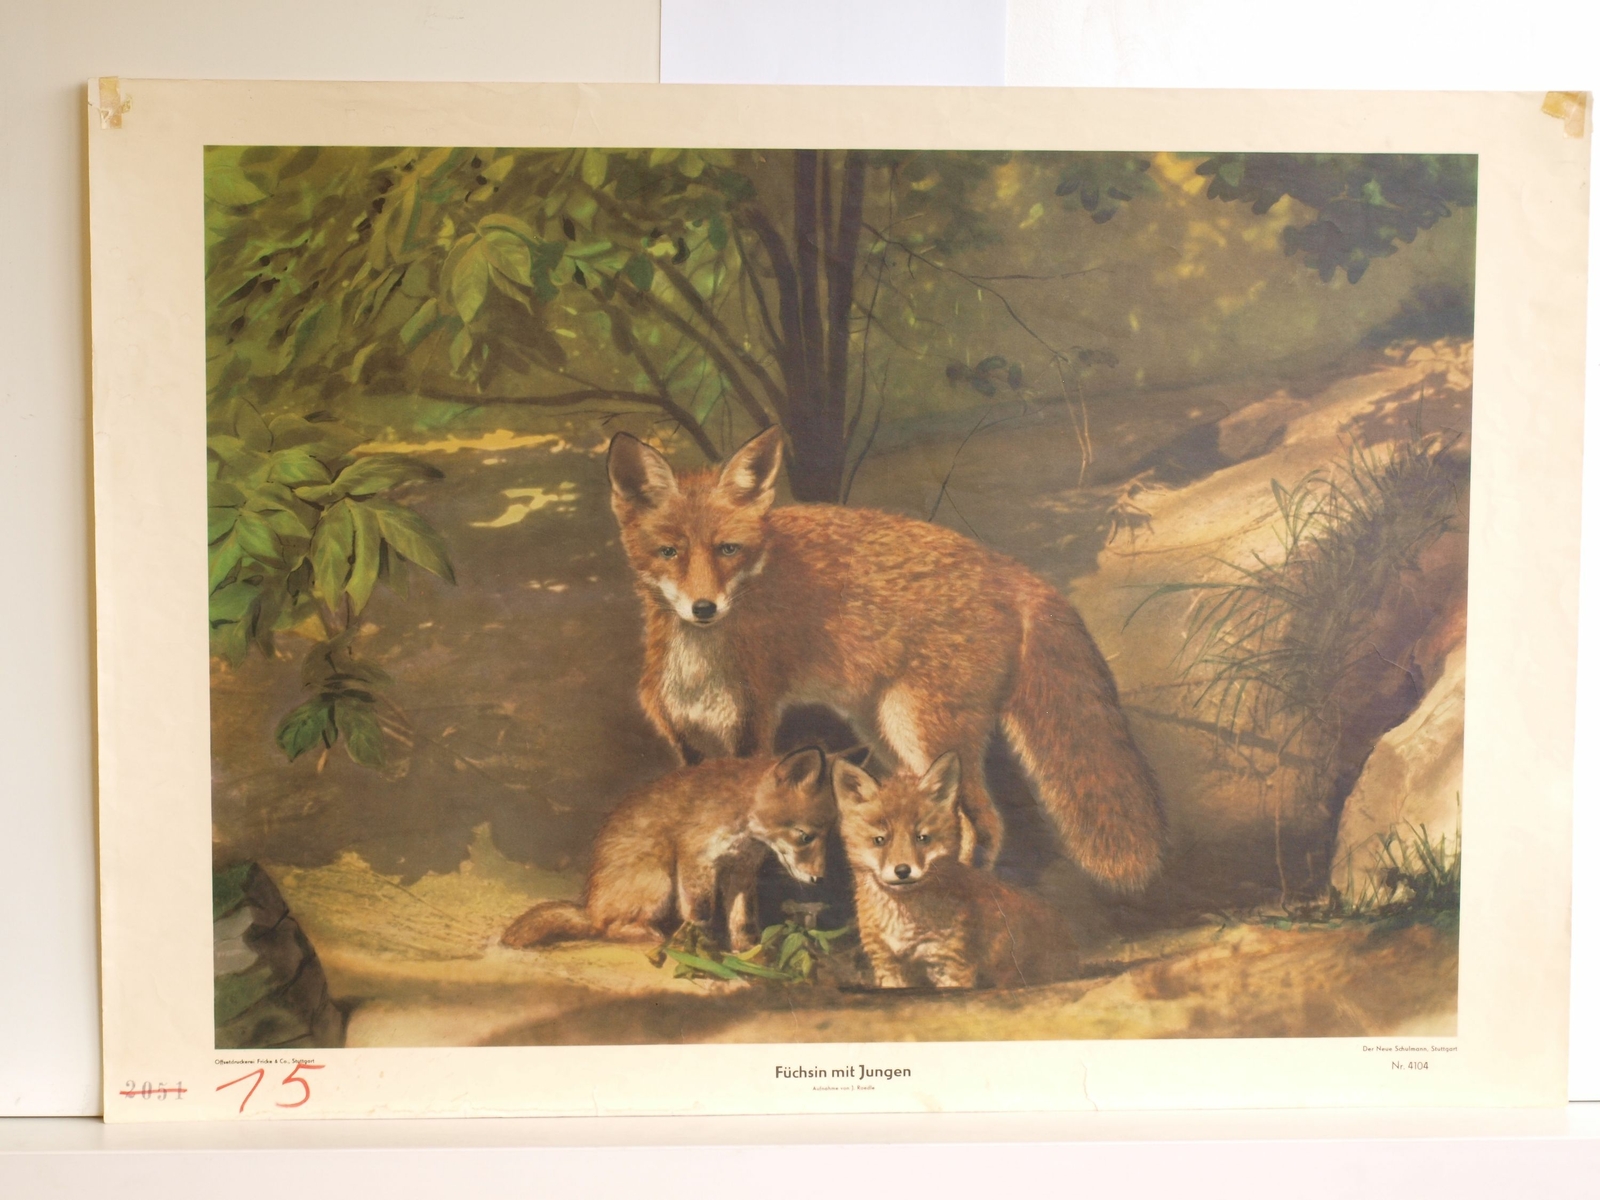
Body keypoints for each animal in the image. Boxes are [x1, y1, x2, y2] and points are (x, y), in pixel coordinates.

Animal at [500, 746, 838, 952]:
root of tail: (589, 906)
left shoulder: (741, 872)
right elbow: (701, 912)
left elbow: (741, 918)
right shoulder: (696, 858)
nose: (820, 879)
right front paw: (698, 949)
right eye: (805, 836)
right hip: (660, 880)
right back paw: (647, 934)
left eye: (828, 836)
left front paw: (748, 952)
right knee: (606, 928)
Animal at [606, 424, 1164, 886]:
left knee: (982, 823)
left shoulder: (754, 727)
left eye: (728, 550)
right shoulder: (686, 738)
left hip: (920, 727)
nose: (704, 608)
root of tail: (1009, 568)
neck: (699, 669)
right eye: (669, 553)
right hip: (883, 730)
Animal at [833, 751, 1080, 989]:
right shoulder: (888, 965)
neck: (903, 920)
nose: (902, 870)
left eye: (922, 838)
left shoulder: (951, 965)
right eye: (880, 840)